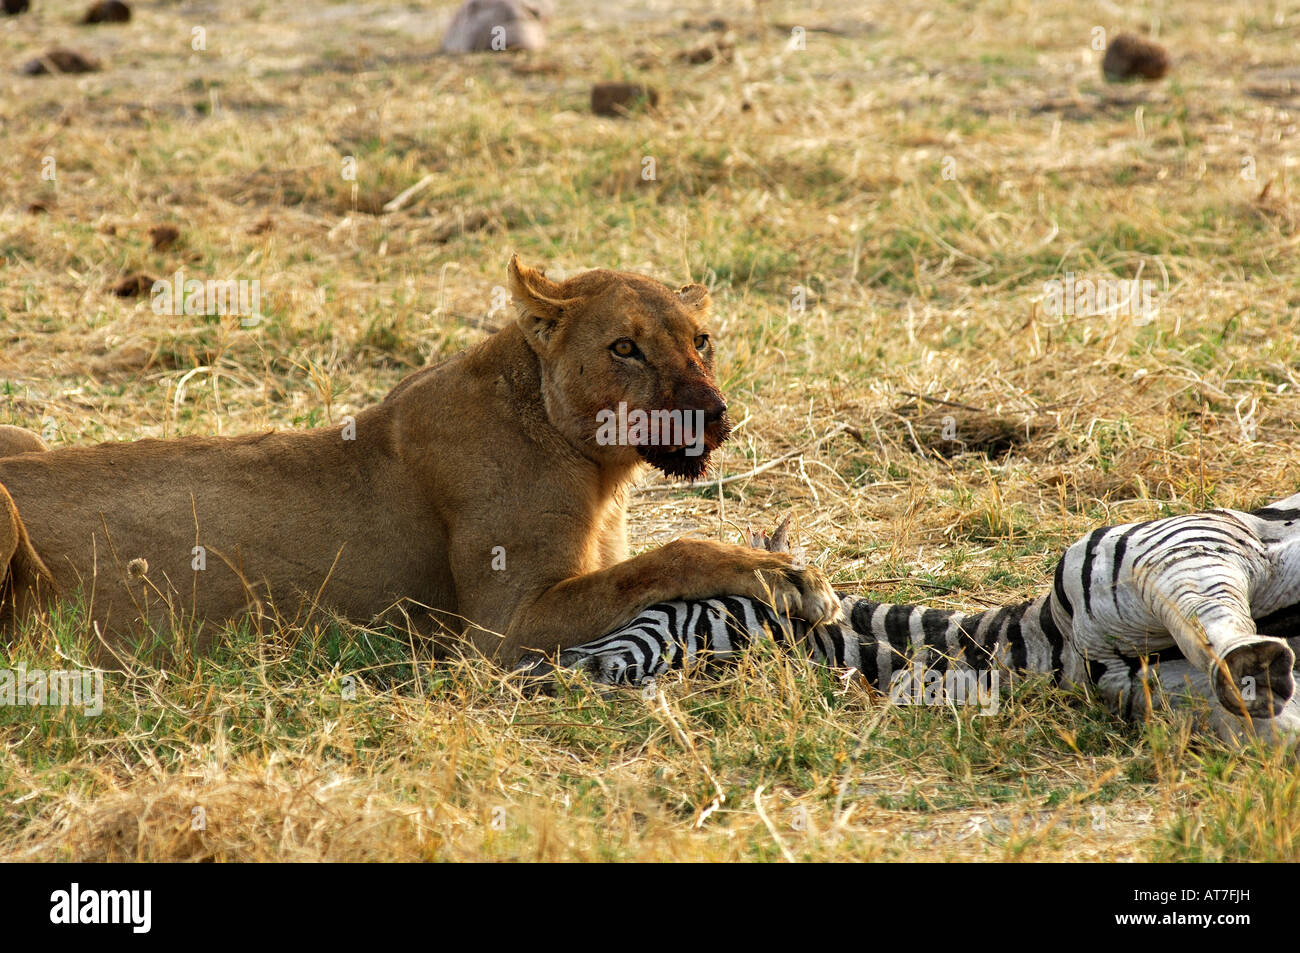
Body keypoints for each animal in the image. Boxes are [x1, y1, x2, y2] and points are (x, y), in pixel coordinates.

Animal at [0, 257, 839, 664]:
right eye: (625, 347)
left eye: (701, 340)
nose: (712, 411)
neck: (598, 468)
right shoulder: (502, 629)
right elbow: (668, 555)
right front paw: (785, 574)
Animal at [519, 492, 1300, 748]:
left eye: (661, 604)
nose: (542, 672)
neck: (1036, 644)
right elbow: (1257, 710)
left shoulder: (1190, 540)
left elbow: (1215, 622)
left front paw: (1259, 658)